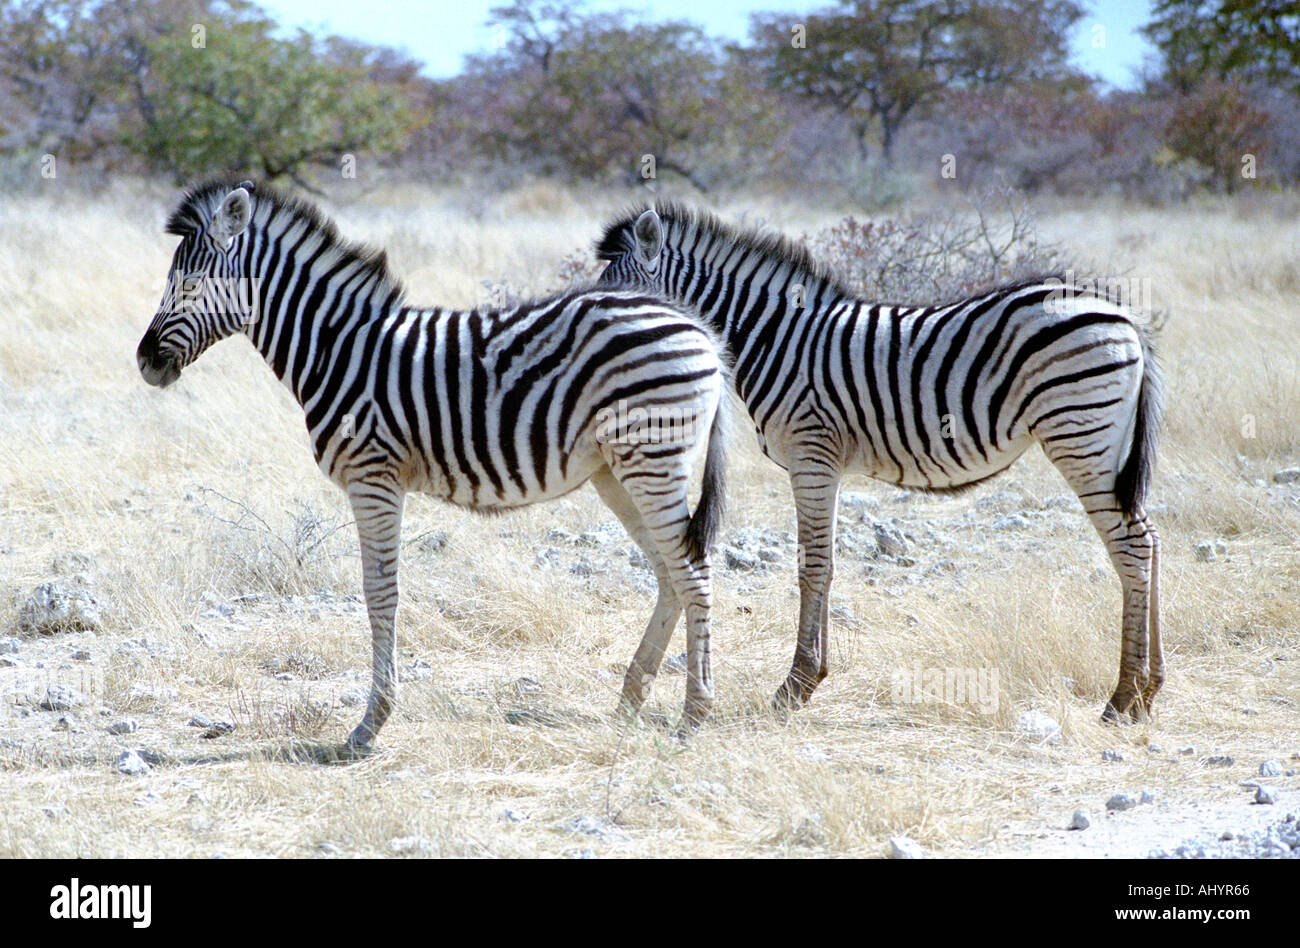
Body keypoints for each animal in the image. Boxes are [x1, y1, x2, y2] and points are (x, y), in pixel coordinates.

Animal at [136, 179, 730, 752]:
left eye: (188, 284)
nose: (144, 362)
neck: (336, 350)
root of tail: (699, 330)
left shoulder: (372, 476)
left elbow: (380, 592)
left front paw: (371, 723)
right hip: (617, 471)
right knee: (669, 573)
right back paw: (630, 701)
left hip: (652, 459)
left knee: (693, 571)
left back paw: (695, 714)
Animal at [596, 201, 1163, 723]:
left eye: (617, 295)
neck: (773, 336)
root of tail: (1123, 313)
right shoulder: (825, 463)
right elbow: (825, 564)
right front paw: (812, 677)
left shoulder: (810, 453)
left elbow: (812, 566)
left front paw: (795, 686)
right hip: (1104, 441)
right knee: (1150, 538)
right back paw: (1149, 689)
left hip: (1080, 435)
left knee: (1130, 547)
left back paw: (1123, 698)